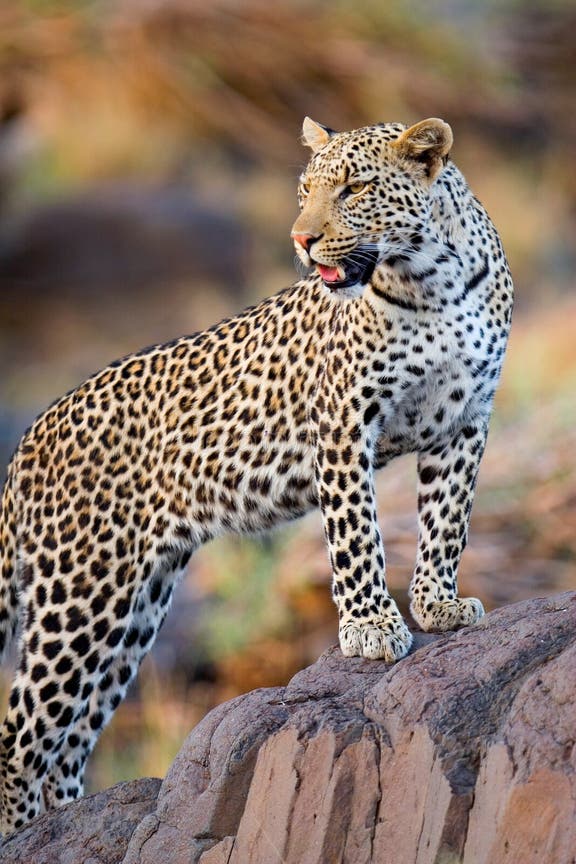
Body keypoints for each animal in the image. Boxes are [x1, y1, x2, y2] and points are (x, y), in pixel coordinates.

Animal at [0, 116, 513, 834]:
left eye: (354, 189)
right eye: (305, 190)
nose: (302, 238)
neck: (430, 282)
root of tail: (27, 440)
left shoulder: (465, 419)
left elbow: (448, 522)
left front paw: (439, 604)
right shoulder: (344, 421)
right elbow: (357, 536)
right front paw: (371, 627)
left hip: (132, 605)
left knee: (67, 740)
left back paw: (74, 819)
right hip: (79, 592)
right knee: (20, 738)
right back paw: (25, 833)